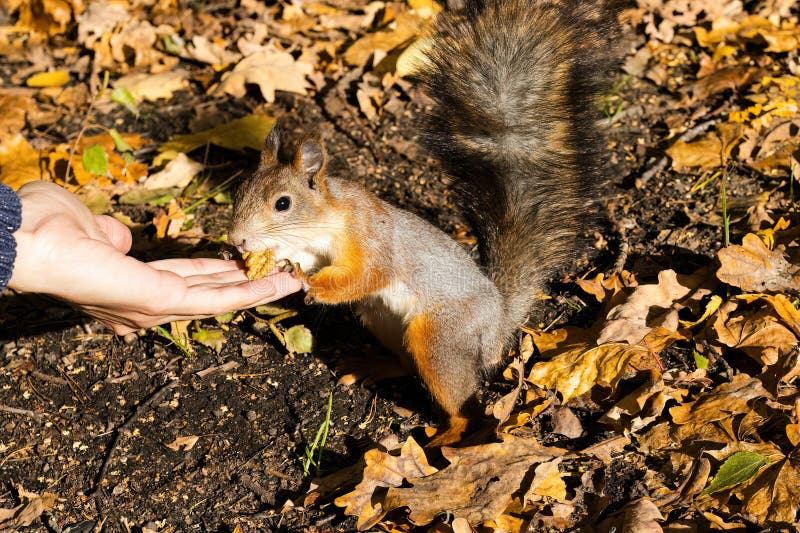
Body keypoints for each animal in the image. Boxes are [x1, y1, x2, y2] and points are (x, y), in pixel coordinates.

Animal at [228, 0, 620, 445]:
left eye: (283, 203)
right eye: (240, 191)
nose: (237, 239)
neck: (323, 225)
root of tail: (498, 325)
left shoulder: (371, 237)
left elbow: (366, 275)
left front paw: (308, 283)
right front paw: (274, 263)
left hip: (439, 338)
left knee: (462, 400)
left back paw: (448, 437)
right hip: (383, 320)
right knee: (405, 363)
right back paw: (373, 366)